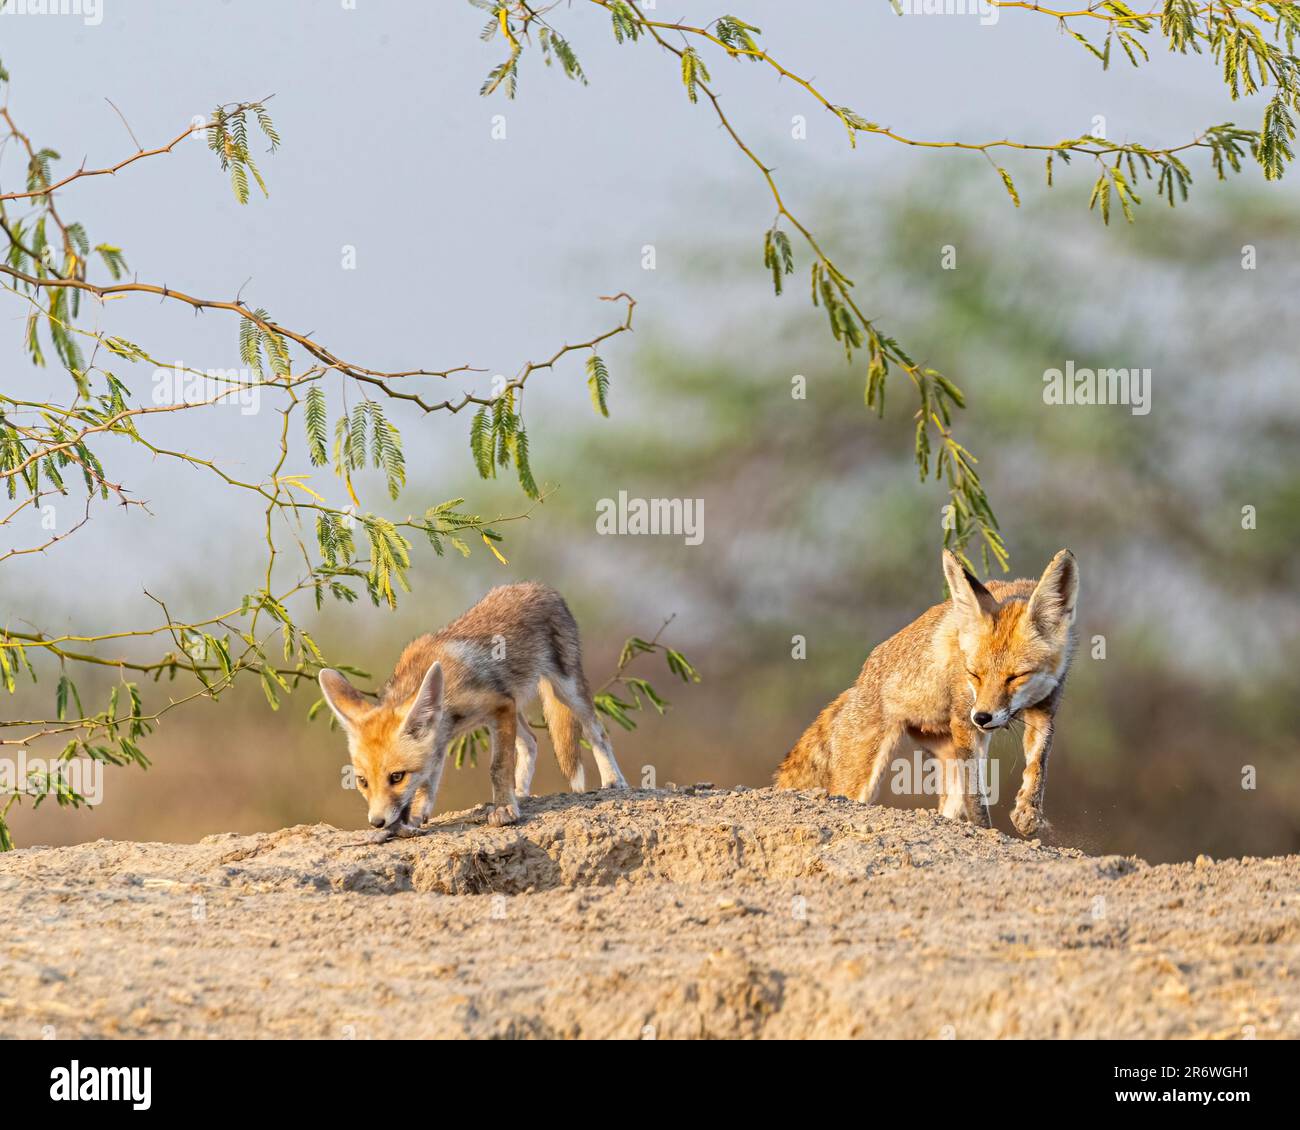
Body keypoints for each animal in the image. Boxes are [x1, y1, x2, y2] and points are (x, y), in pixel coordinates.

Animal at [318, 582, 627, 841]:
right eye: (362, 781)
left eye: (396, 777)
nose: (377, 822)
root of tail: (540, 586)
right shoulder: (449, 735)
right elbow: (428, 783)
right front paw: (417, 815)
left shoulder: (499, 706)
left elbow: (498, 767)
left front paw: (503, 809)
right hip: (515, 707)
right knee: (531, 742)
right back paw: (521, 792)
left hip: (566, 689)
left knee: (597, 732)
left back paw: (613, 780)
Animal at [776, 548, 1079, 837]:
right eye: (974, 674)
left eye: (1015, 677)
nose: (982, 717)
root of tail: (858, 684)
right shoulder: (963, 717)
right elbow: (975, 796)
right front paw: (985, 829)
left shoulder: (1044, 710)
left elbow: (1038, 766)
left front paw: (1028, 813)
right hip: (863, 777)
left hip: (948, 753)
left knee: (951, 801)